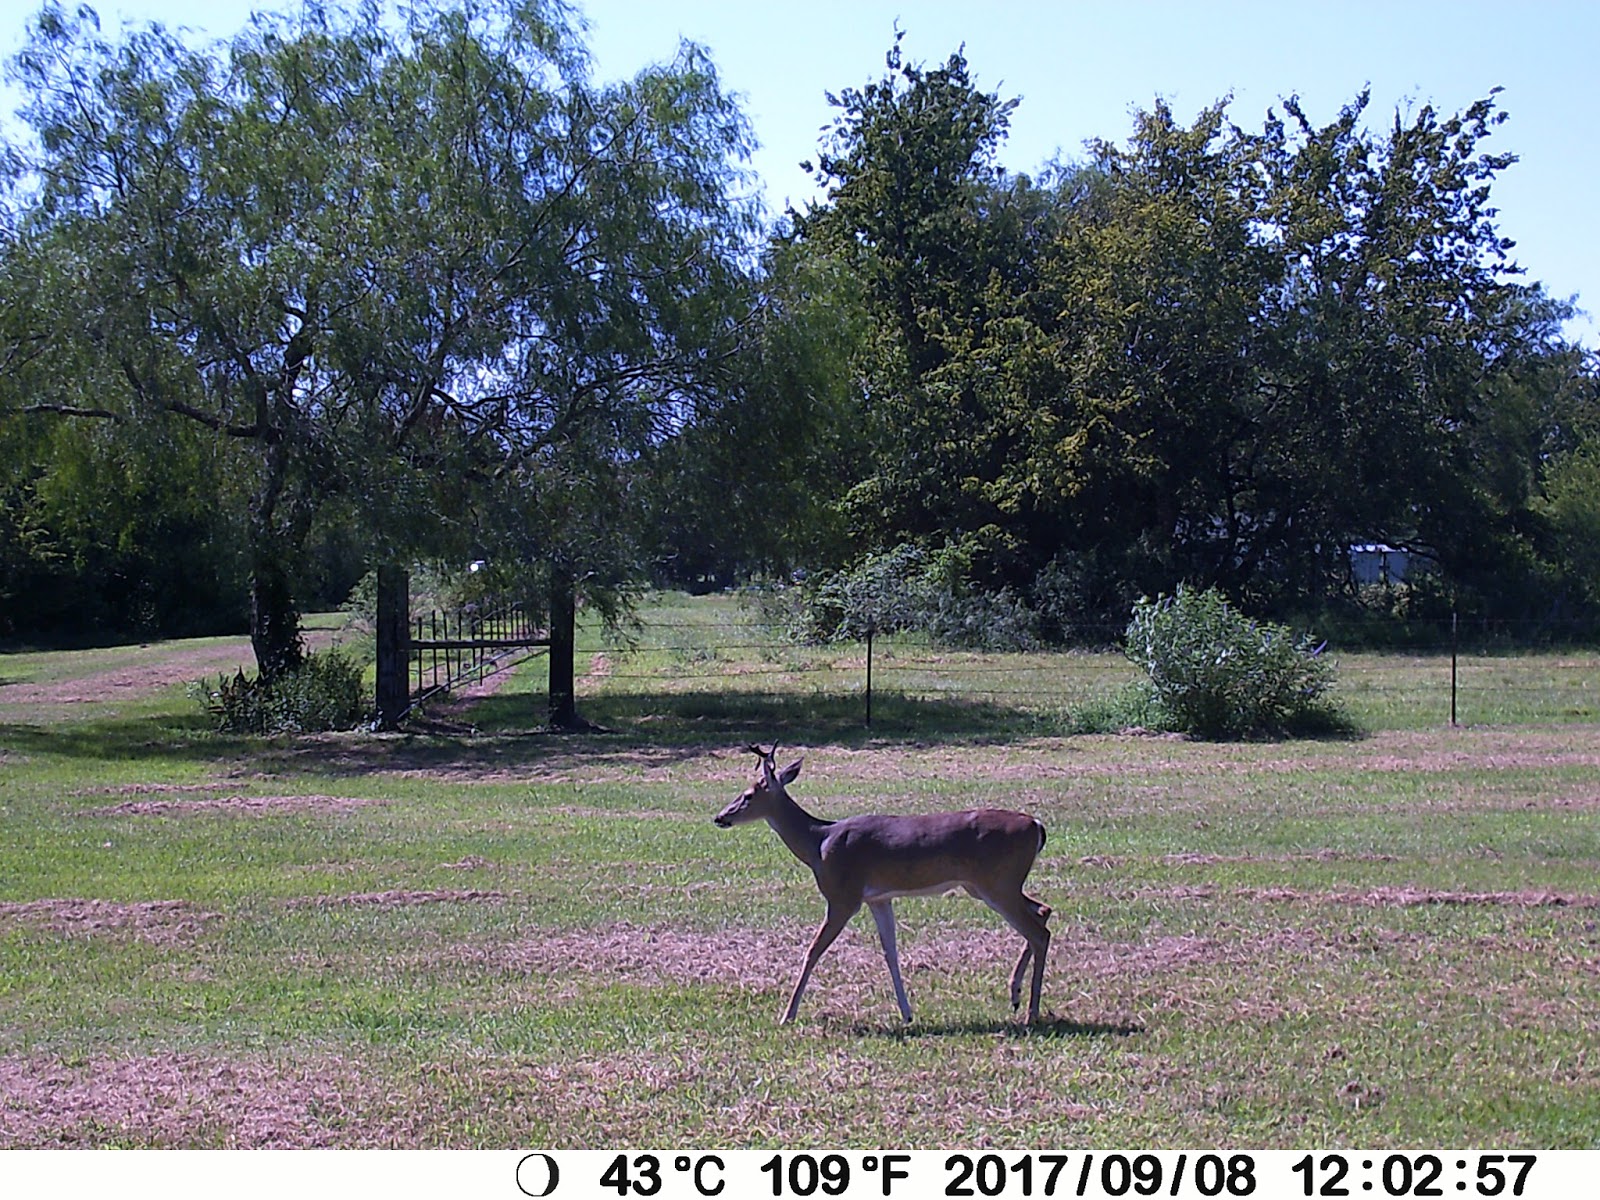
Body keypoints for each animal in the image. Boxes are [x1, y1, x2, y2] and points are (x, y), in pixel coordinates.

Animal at [713, 743, 1051, 1025]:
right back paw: (1016, 996)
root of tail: (1037, 825)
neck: (819, 844)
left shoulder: (843, 896)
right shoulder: (878, 898)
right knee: (1043, 911)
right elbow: (891, 951)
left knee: (1039, 932)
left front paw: (787, 1015)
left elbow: (813, 951)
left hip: (998, 883)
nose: (719, 817)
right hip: (990, 885)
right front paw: (907, 1013)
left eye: (748, 795)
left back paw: (1031, 1011)